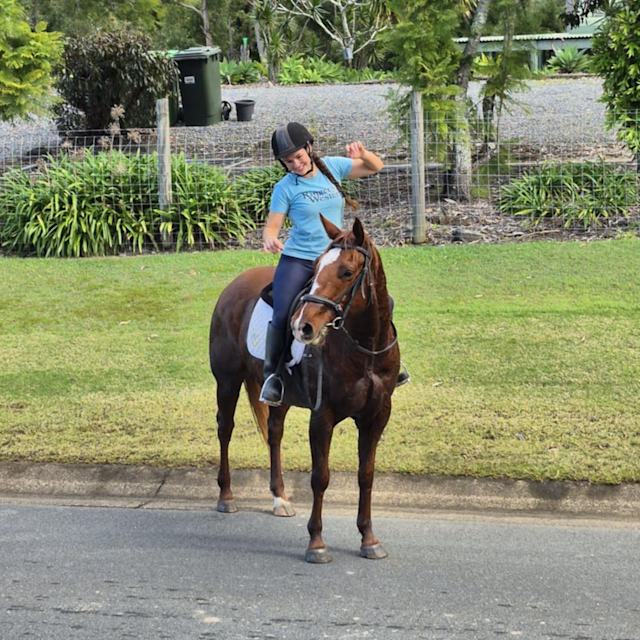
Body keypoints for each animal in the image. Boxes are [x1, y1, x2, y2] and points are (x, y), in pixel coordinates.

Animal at [209, 216, 401, 563]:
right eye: (316, 266)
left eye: (346, 272)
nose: (303, 327)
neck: (365, 348)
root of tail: (233, 286)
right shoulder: (322, 417)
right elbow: (320, 478)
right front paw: (317, 543)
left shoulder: (376, 416)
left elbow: (366, 475)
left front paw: (369, 539)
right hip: (227, 381)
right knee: (225, 429)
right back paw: (226, 496)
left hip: (278, 396)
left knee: (274, 433)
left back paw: (280, 498)